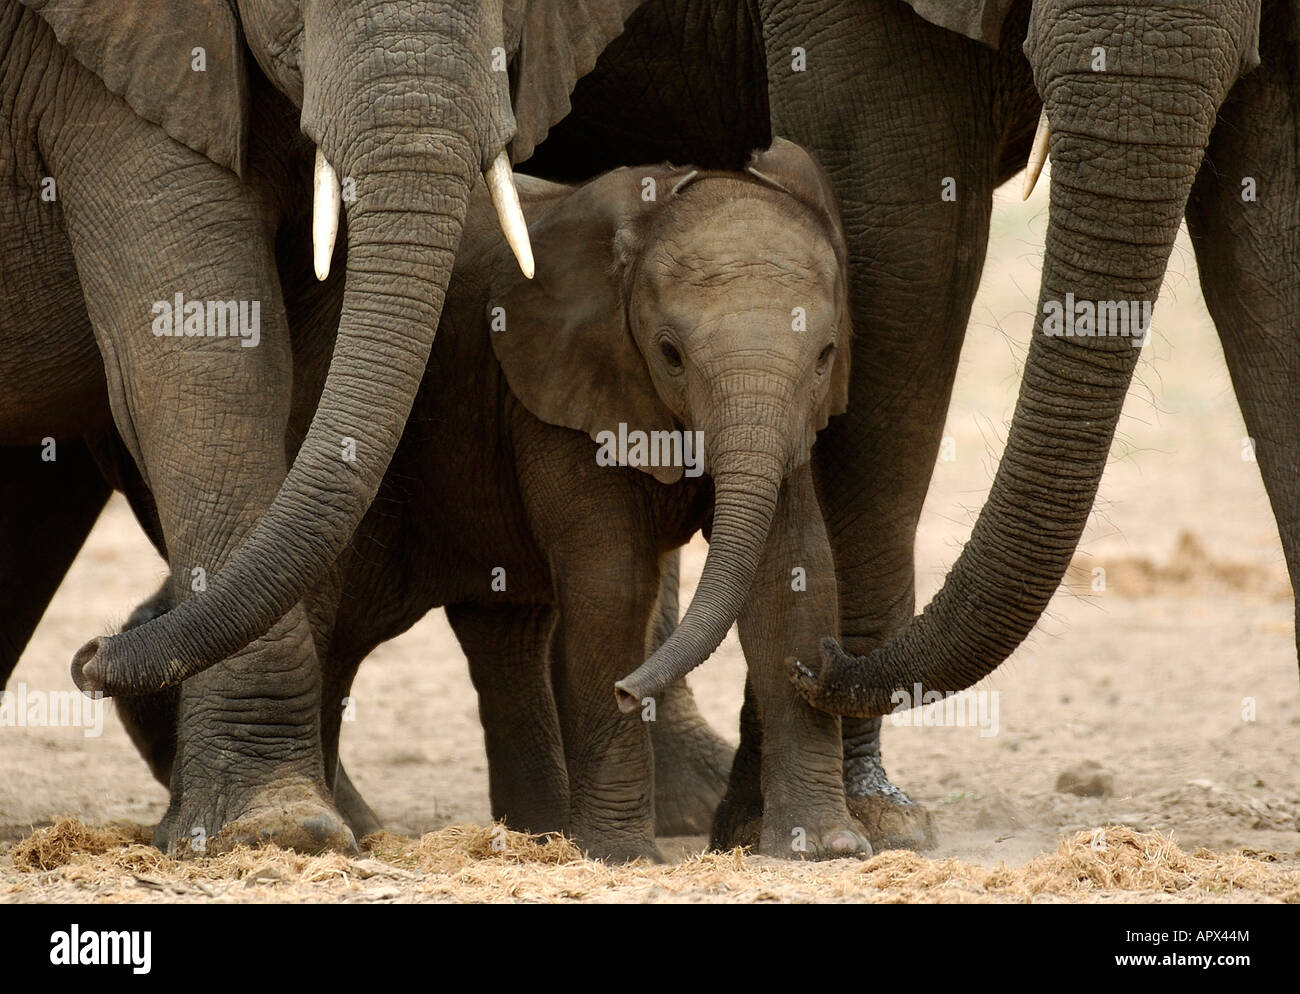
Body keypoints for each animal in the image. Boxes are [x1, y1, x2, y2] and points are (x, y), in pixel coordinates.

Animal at [2, 0, 650, 852]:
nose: (90, 659)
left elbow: (307, 376)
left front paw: (281, 824)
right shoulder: (104, 63)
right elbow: (197, 355)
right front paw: (274, 828)